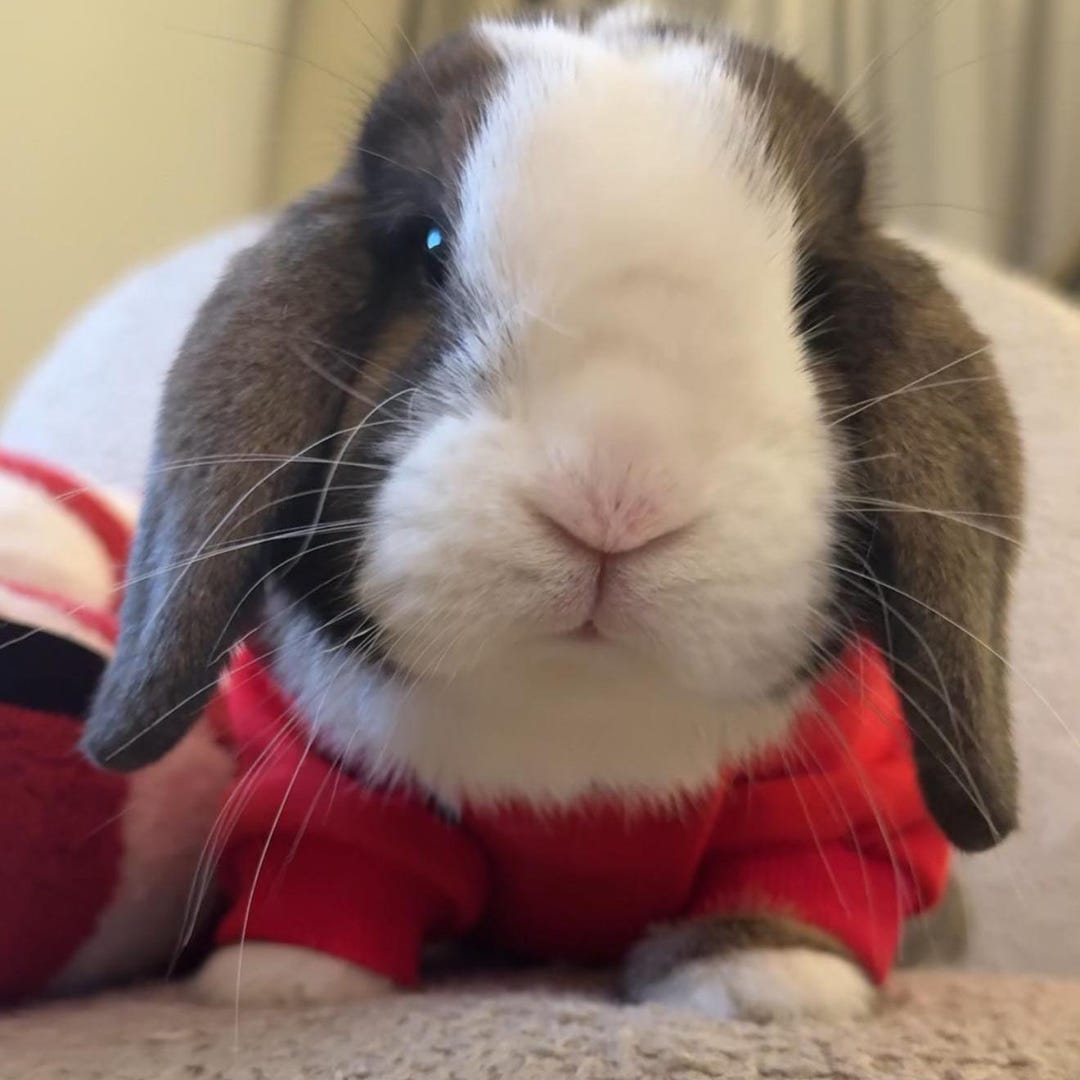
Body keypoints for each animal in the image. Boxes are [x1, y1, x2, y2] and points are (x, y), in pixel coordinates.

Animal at [79, 4, 1022, 1021]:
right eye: (427, 249)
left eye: (812, 294)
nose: (615, 497)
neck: (576, 728)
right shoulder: (330, 779)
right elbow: (331, 861)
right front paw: (288, 979)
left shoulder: (844, 797)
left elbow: (806, 868)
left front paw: (763, 984)